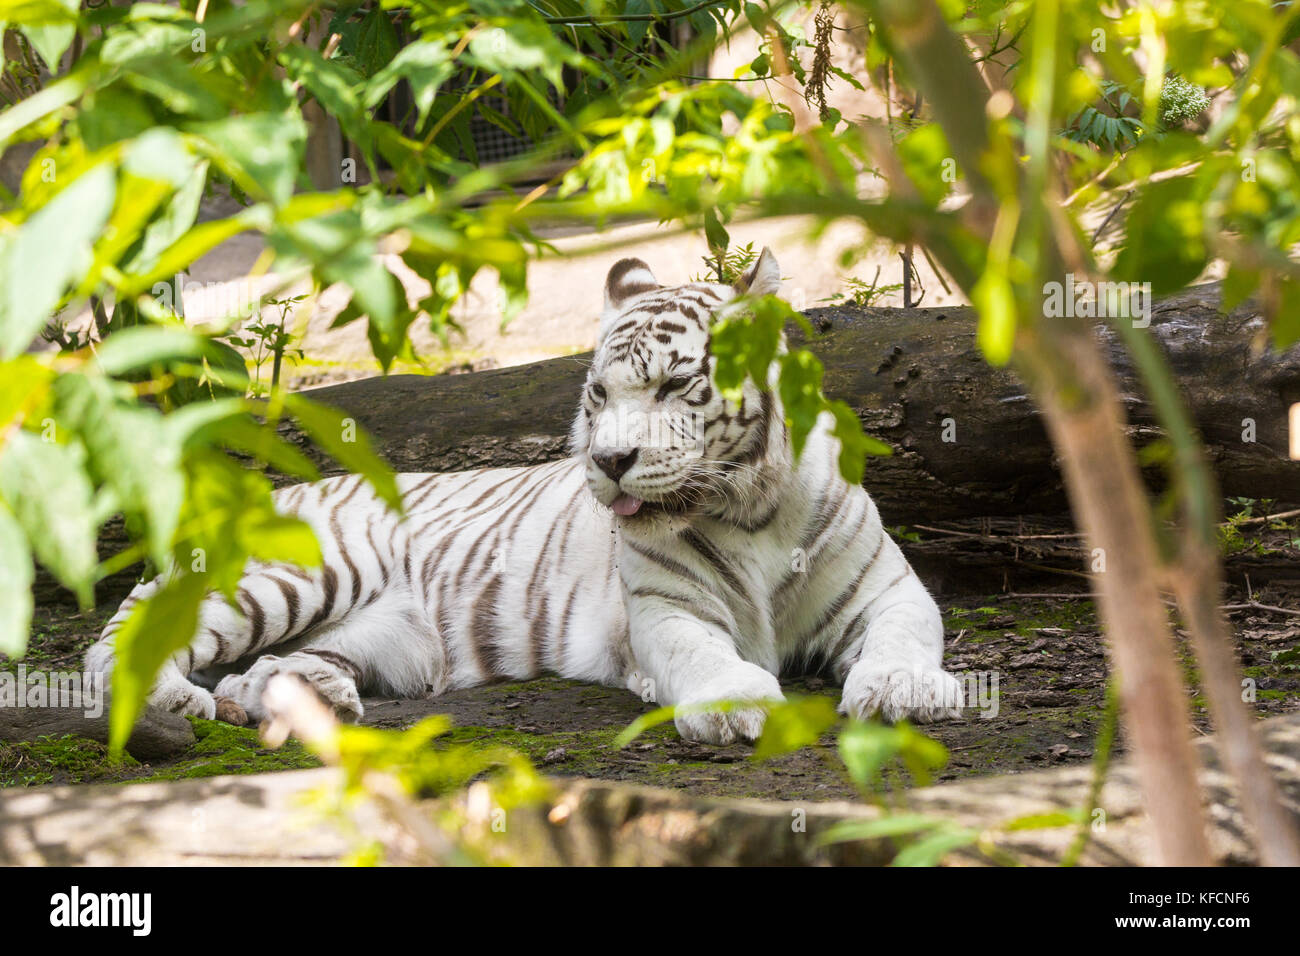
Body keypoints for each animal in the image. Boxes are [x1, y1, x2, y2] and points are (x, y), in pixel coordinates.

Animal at [86, 247, 963, 745]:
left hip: (380, 637)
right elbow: (700, 652)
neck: (748, 507)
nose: (610, 461)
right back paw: (179, 704)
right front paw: (734, 702)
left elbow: (906, 634)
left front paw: (904, 689)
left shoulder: (888, 587)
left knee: (262, 665)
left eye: (675, 385)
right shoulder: (665, 608)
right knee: (117, 645)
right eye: (599, 395)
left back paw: (307, 699)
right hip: (295, 577)